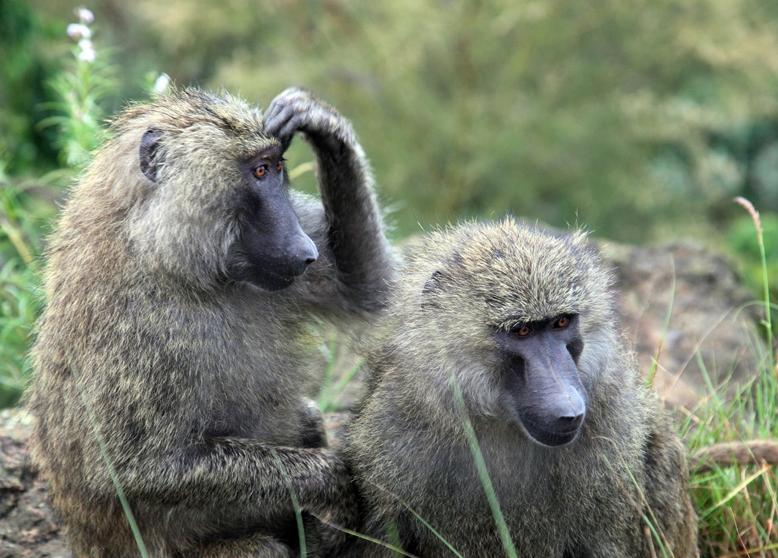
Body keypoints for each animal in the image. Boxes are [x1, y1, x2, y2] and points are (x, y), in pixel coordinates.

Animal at [27, 86, 394, 557]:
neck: (163, 248)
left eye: (276, 167)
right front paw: (334, 484)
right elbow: (136, 468)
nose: (307, 251)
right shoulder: (133, 323)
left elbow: (366, 287)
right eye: (258, 171)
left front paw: (319, 123)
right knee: (262, 549)